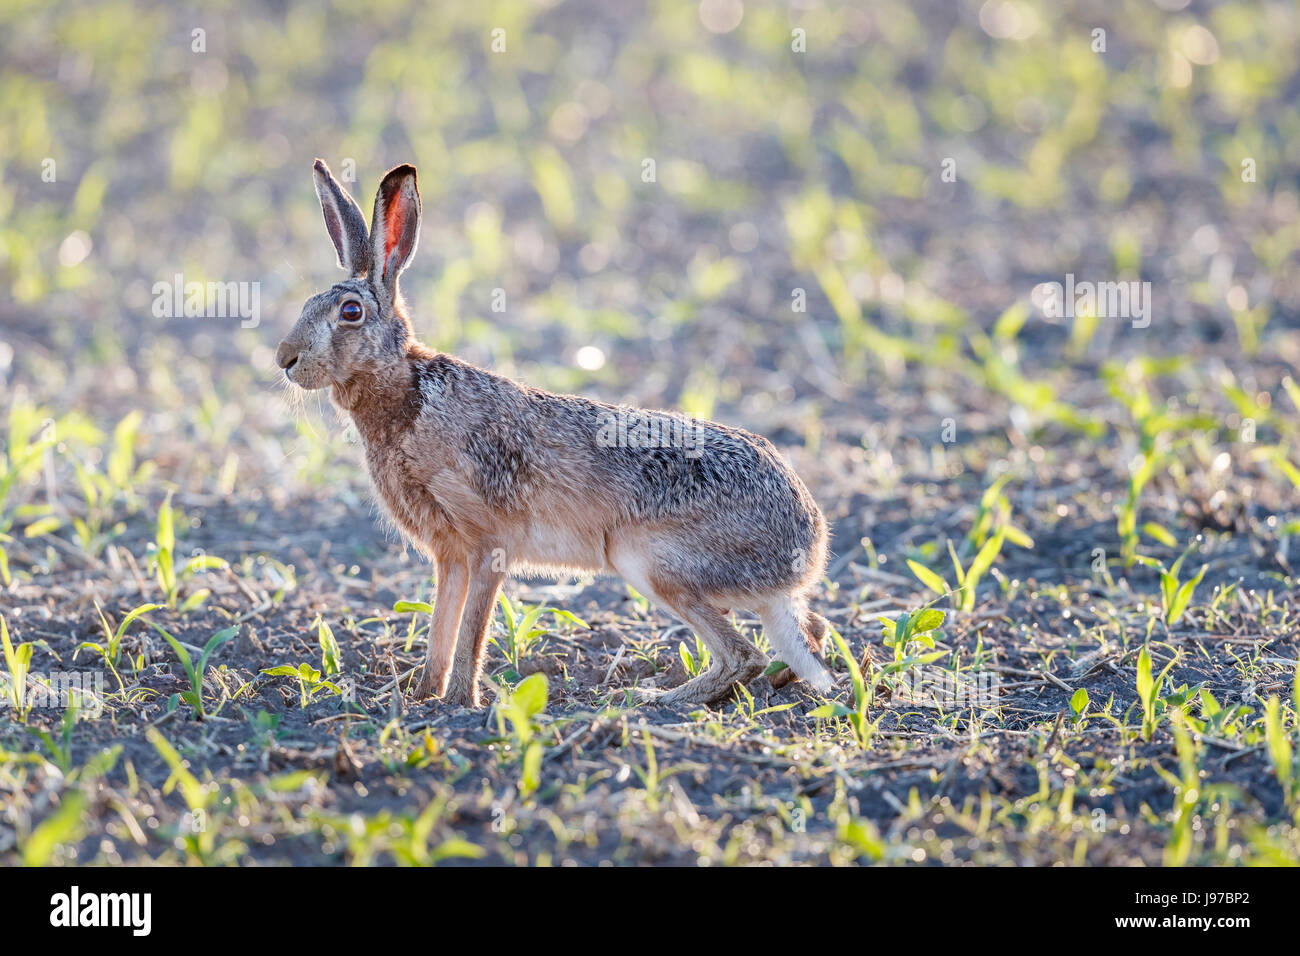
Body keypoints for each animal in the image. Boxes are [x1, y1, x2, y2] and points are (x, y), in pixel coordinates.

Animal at [276, 160, 834, 708]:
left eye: (350, 313)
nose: (285, 359)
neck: (408, 394)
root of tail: (805, 552)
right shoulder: (449, 554)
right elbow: (442, 626)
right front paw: (423, 696)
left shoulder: (486, 543)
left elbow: (470, 632)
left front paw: (459, 703)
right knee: (810, 631)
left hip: (648, 559)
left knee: (742, 655)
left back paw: (653, 699)